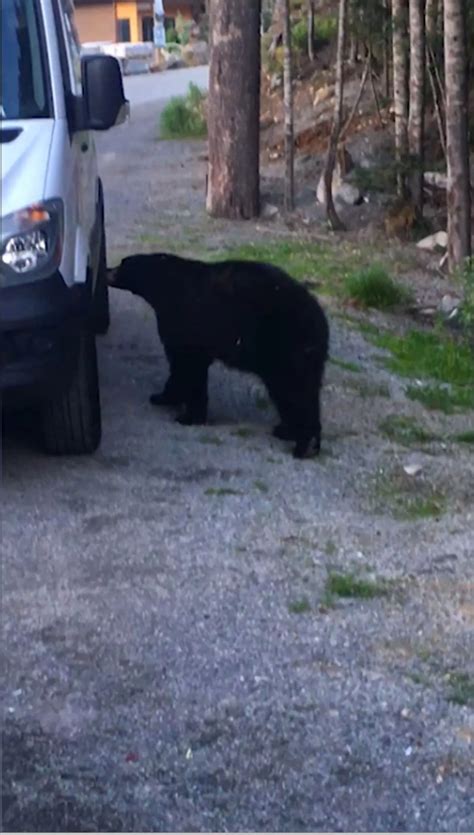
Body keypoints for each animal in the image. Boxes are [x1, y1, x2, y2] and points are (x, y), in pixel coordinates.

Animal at [108, 253, 330, 458]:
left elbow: (188, 367)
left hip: (286, 348)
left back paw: (303, 446)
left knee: (295, 392)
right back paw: (290, 432)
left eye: (122, 264)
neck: (165, 287)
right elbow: (180, 367)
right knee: (296, 394)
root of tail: (320, 321)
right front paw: (165, 397)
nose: (107, 271)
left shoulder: (187, 322)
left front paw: (187, 416)